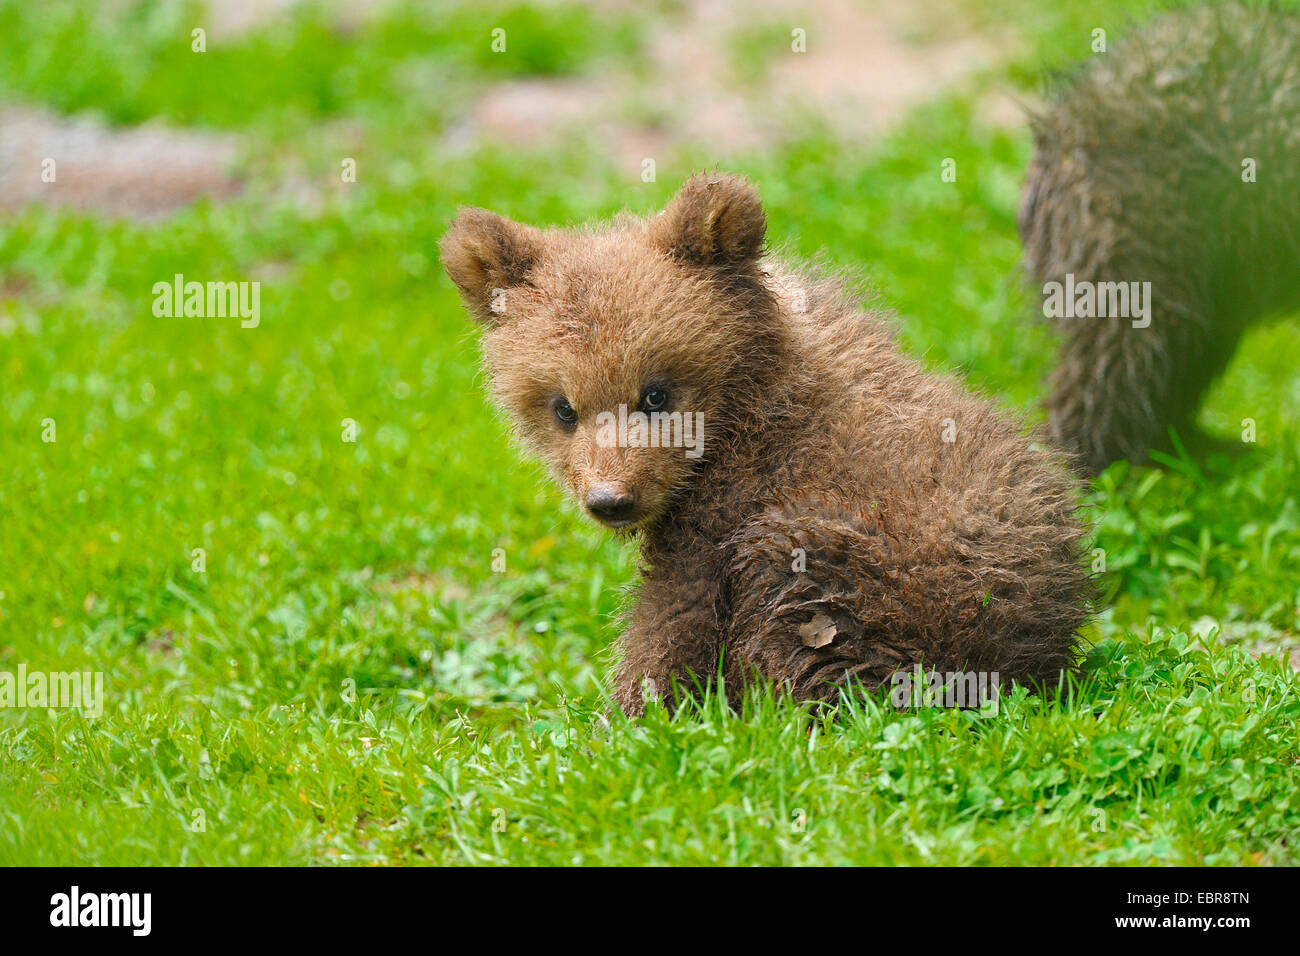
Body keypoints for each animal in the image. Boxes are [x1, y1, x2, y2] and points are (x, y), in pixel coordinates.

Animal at [441, 172, 1094, 717]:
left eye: (655, 393)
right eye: (563, 408)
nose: (611, 499)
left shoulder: (723, 512)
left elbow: (673, 622)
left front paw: (625, 720)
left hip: (880, 576)